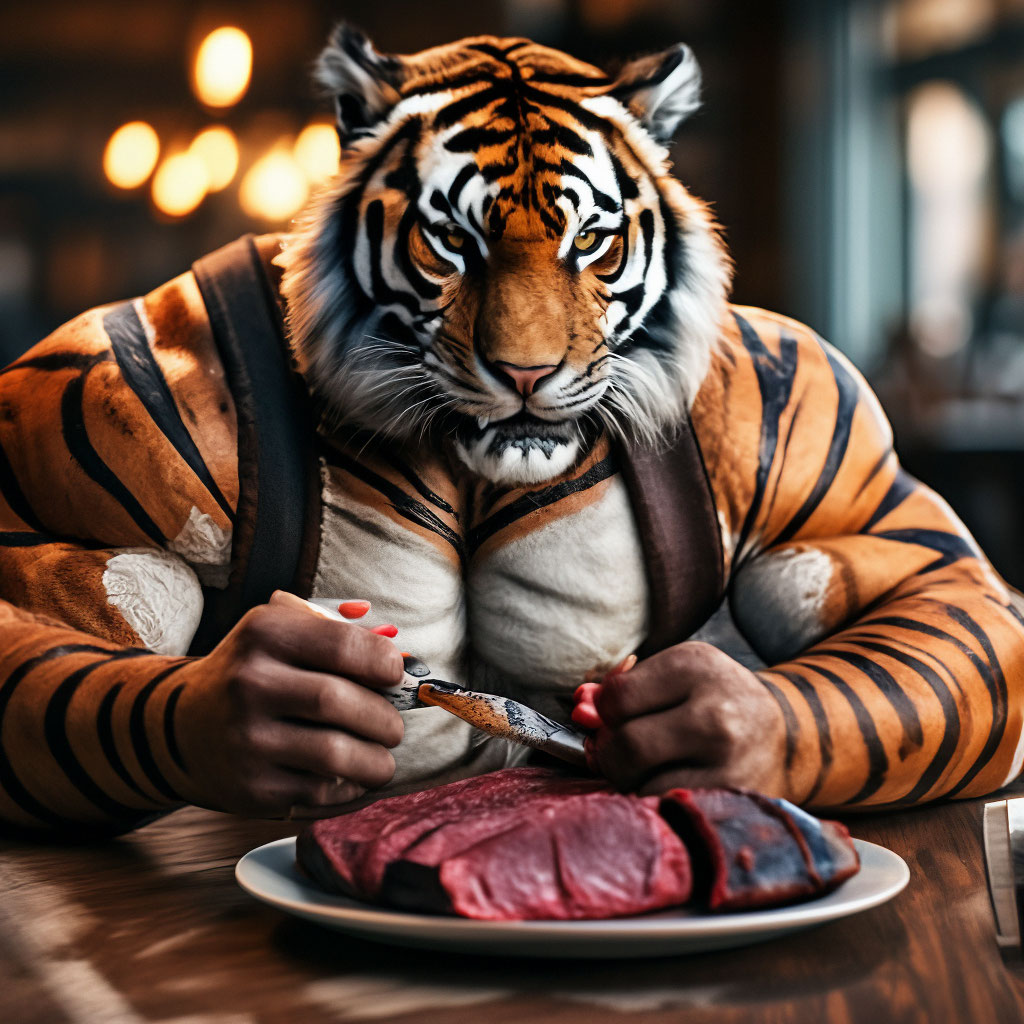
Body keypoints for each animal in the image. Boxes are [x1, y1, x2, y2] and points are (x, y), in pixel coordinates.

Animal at [0, 26, 1022, 835]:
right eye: (454, 241)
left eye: (592, 243)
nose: (527, 375)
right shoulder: (117, 401)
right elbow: (44, 615)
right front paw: (253, 711)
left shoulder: (820, 426)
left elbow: (939, 586)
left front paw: (718, 724)